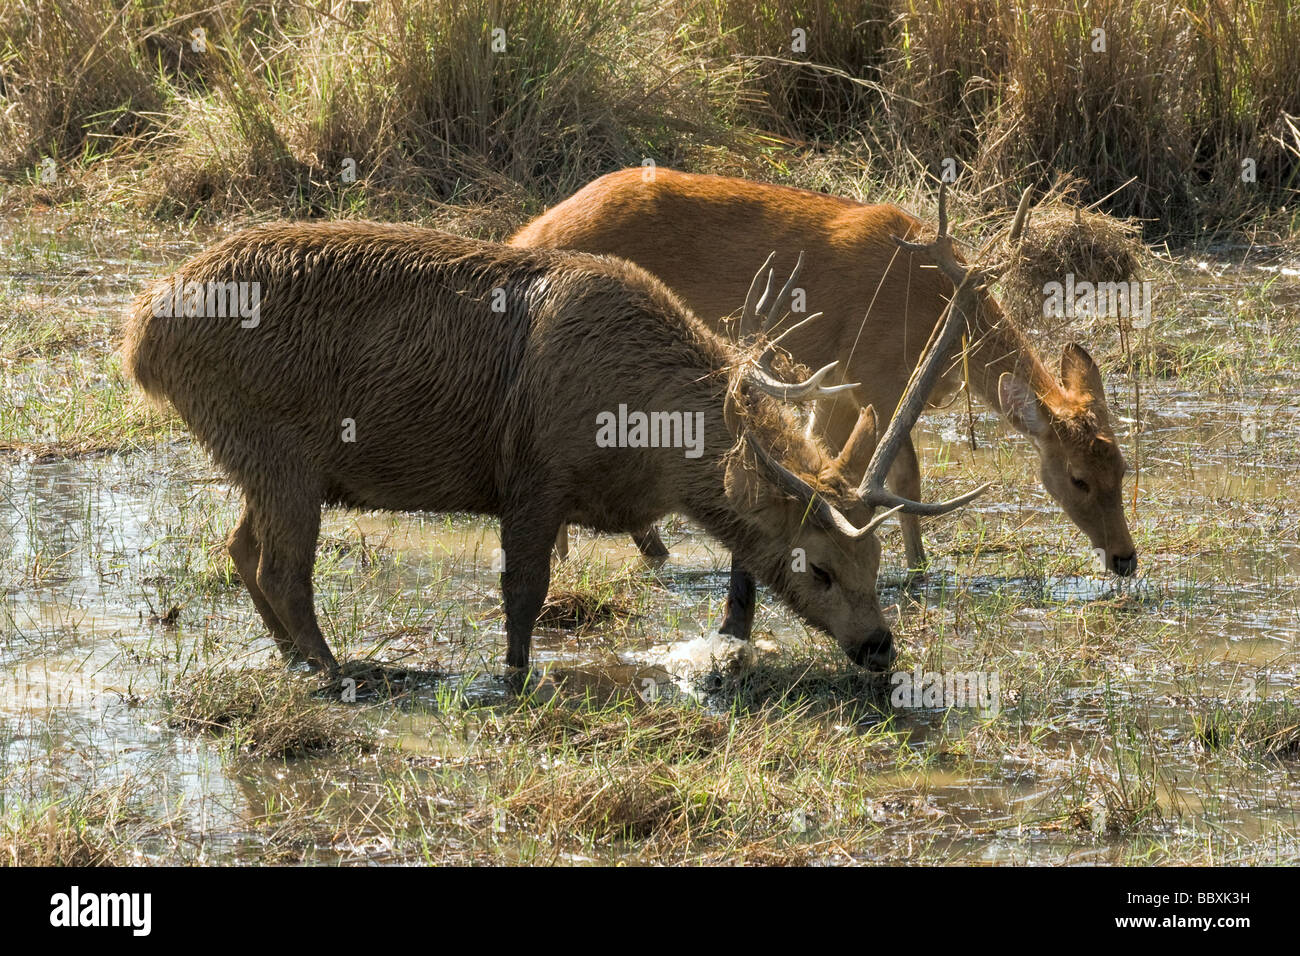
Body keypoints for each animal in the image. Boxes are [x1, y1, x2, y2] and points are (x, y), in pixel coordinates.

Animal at [120, 220, 988, 676]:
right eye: (820, 567)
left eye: (877, 559)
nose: (880, 645)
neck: (644, 438)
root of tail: (140, 336)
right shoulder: (532, 477)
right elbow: (523, 592)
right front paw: (514, 675)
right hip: (275, 449)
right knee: (280, 568)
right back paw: (335, 671)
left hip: (259, 459)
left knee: (238, 548)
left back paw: (298, 658)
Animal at [511, 168, 1137, 639]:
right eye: (1078, 479)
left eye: (1123, 468)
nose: (1125, 558)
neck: (938, 317)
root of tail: (529, 234)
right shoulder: (861, 374)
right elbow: (872, 473)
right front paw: (909, 569)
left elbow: (885, 472)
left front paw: (911, 564)